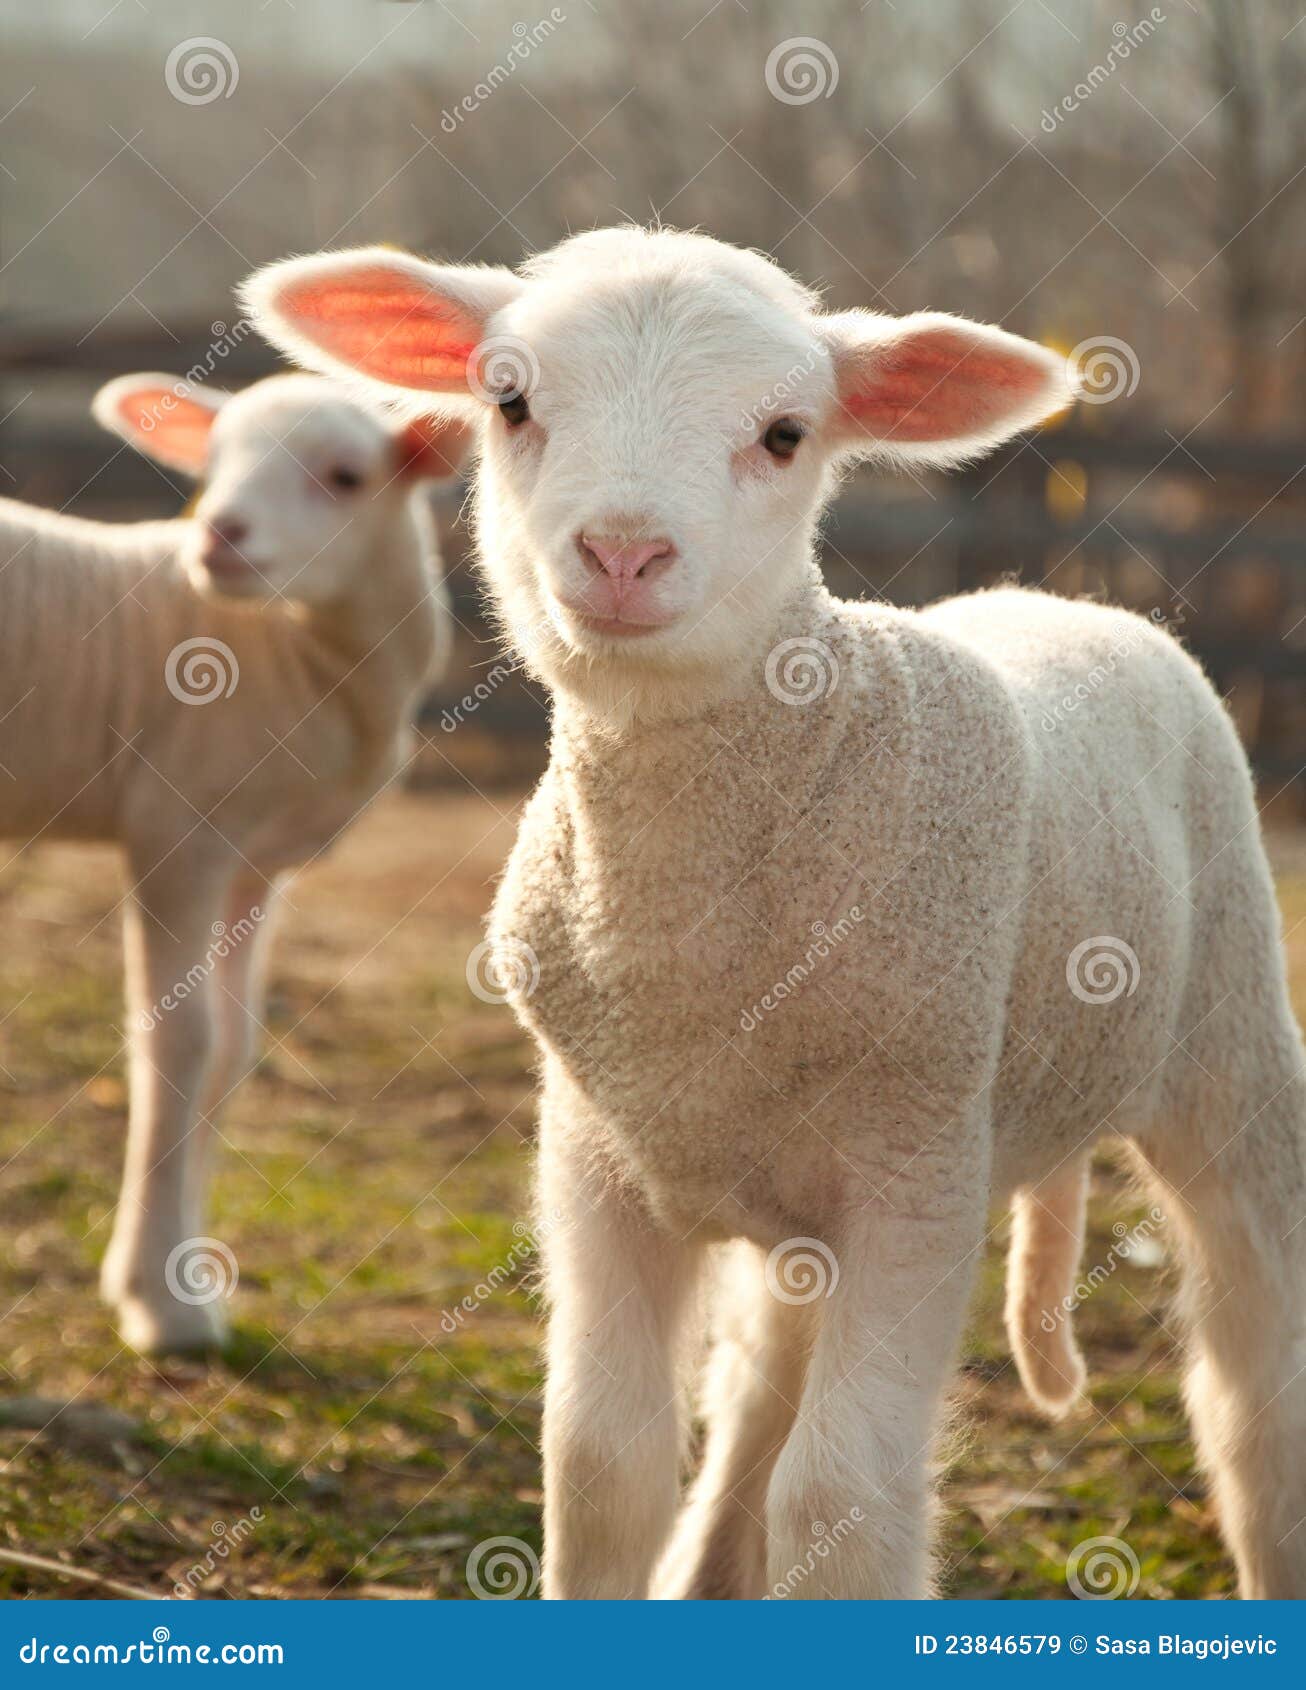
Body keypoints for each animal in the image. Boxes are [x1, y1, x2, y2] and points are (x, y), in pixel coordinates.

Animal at [1, 370, 466, 1355]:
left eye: (345, 475)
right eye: (211, 464)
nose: (219, 535)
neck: (297, 654)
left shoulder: (259, 863)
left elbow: (234, 1049)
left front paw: (190, 1278)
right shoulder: (177, 835)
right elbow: (181, 1041)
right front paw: (159, 1304)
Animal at [245, 225, 1306, 1600]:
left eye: (786, 433)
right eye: (510, 401)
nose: (623, 554)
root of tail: (1063, 598)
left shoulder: (917, 1167)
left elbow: (842, 1498)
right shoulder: (596, 1147)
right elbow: (602, 1462)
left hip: (1229, 1049)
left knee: (1251, 1374)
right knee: (759, 1385)